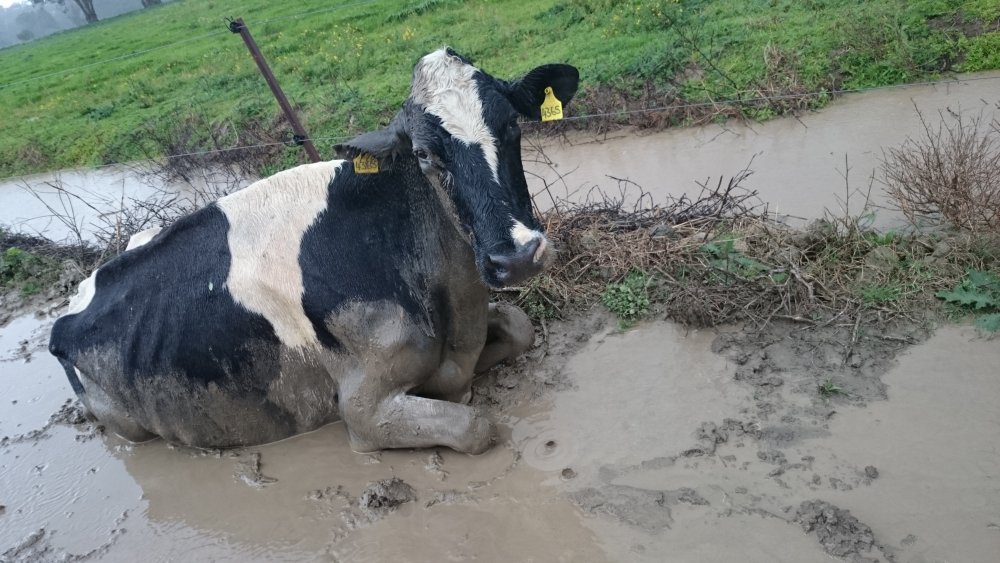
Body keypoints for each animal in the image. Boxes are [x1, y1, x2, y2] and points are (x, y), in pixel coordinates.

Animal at [48, 48, 579, 454]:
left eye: (513, 126)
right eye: (424, 154)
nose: (517, 257)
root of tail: (66, 314)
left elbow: (520, 325)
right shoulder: (364, 412)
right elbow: (476, 427)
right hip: (127, 425)